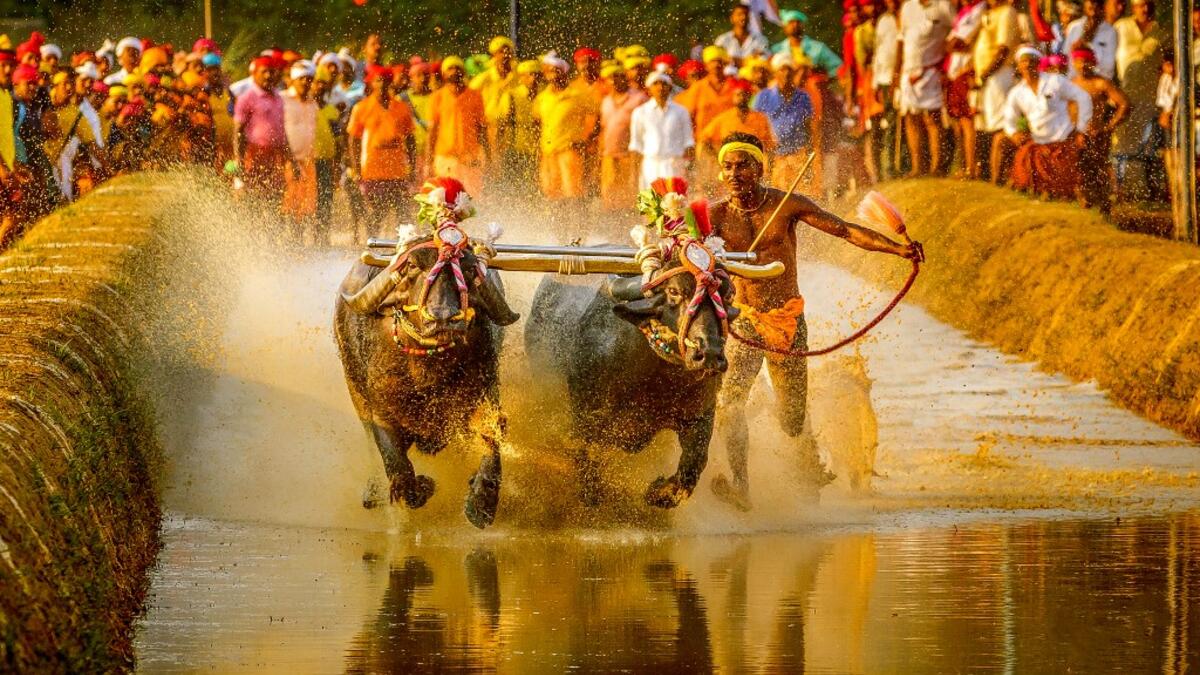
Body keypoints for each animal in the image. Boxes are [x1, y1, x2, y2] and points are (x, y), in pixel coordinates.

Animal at [335, 223, 520, 528]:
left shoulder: (484, 397)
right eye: (412, 266)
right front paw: (423, 487)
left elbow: (493, 443)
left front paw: (481, 503)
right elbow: (397, 467)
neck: (428, 372)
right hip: (354, 389)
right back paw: (373, 491)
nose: (443, 317)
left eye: (468, 269)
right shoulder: (382, 413)